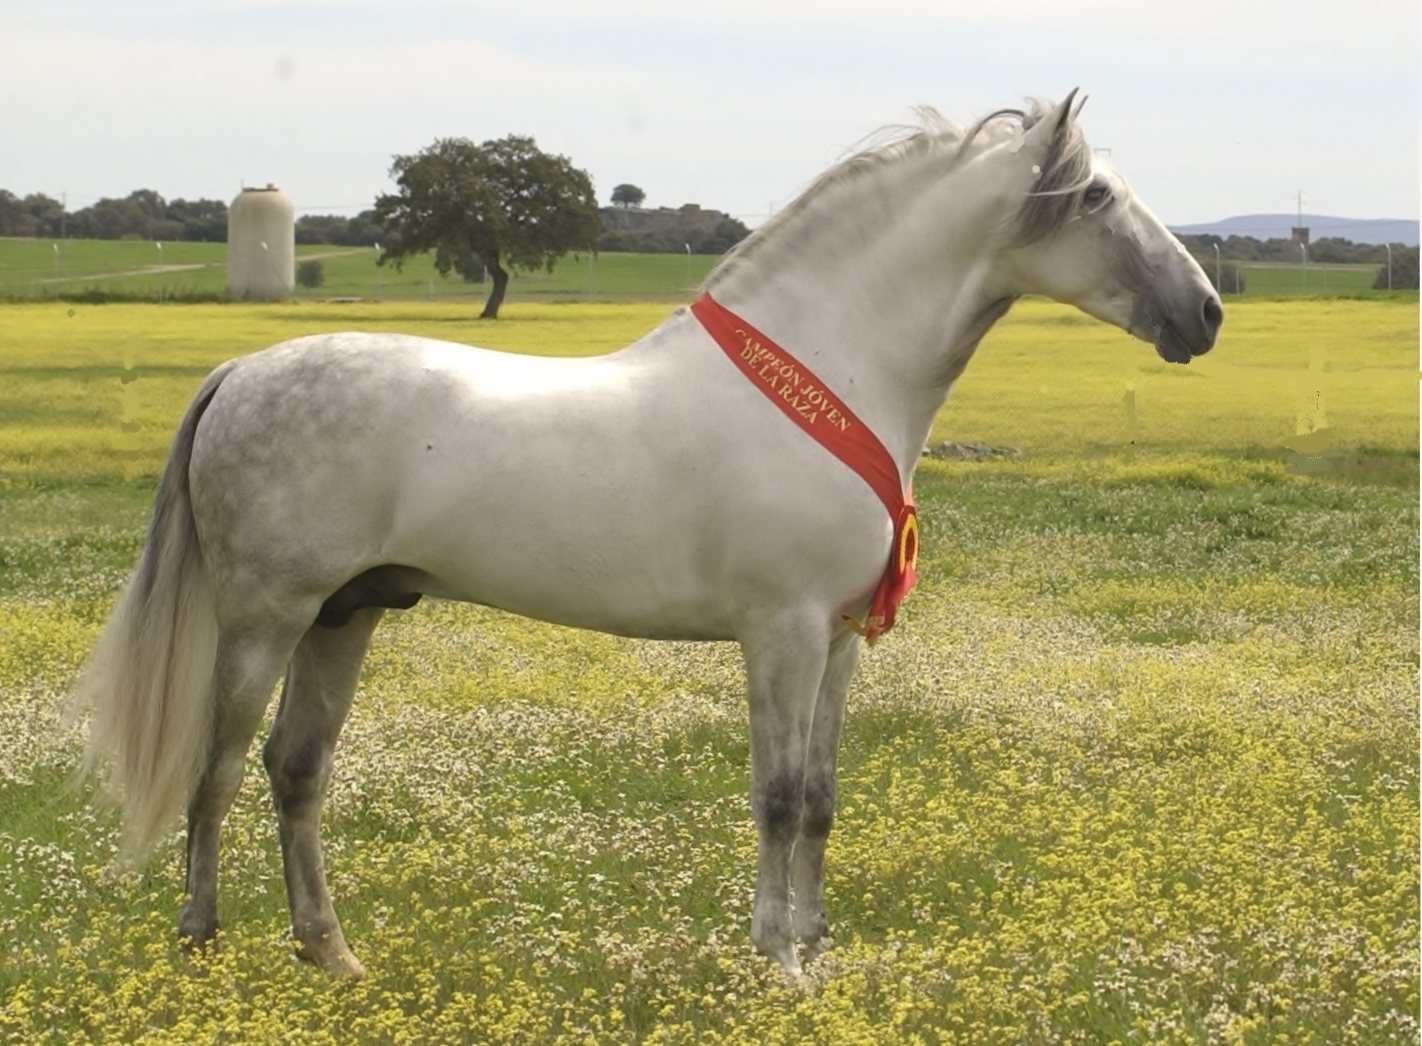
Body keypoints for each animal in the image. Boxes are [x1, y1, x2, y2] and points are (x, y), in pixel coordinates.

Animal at [74, 92, 1221, 980]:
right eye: (1098, 197)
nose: (1205, 312)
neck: (831, 371)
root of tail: (240, 371)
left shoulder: (840, 639)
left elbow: (822, 798)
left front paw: (818, 947)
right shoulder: (782, 632)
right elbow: (777, 796)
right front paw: (779, 960)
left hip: (347, 614)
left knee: (295, 768)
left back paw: (331, 953)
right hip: (269, 618)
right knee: (219, 767)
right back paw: (203, 943)